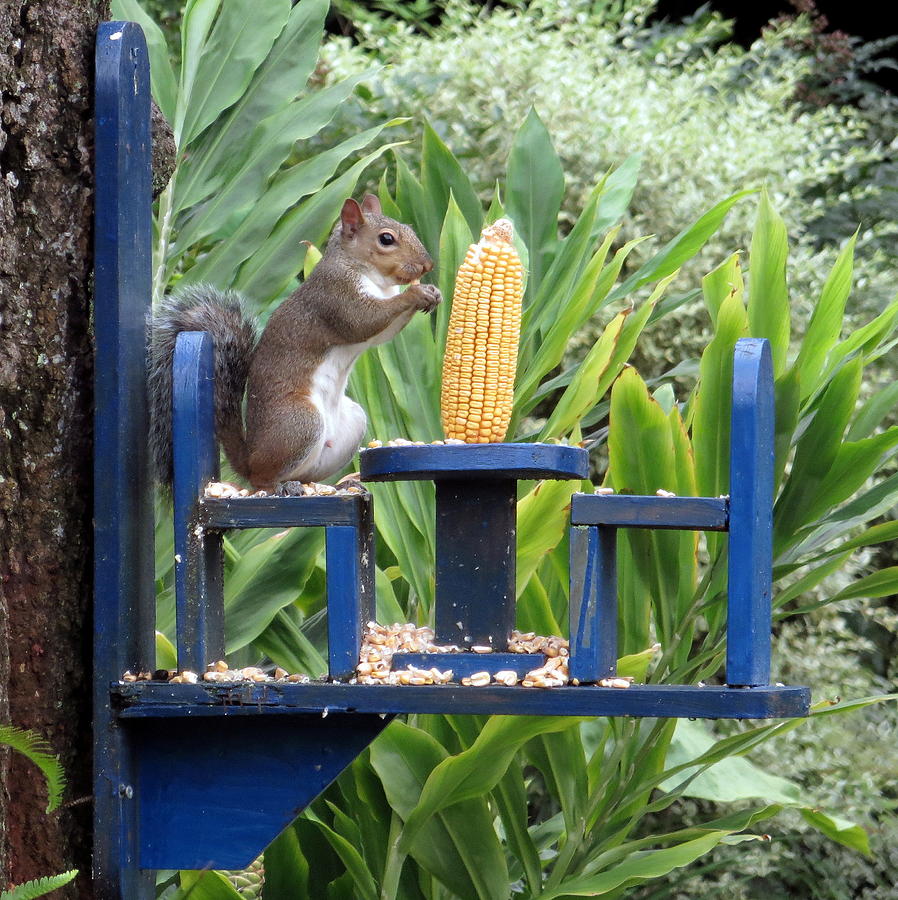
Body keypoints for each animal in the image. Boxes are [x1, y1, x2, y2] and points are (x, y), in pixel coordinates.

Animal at [149, 194, 442, 494]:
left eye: (408, 227)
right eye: (386, 239)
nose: (427, 265)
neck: (373, 277)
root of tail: (250, 458)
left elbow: (383, 333)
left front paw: (432, 293)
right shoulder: (335, 296)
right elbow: (363, 321)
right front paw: (415, 293)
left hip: (350, 423)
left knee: (306, 474)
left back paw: (336, 485)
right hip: (299, 423)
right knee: (262, 479)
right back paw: (278, 486)